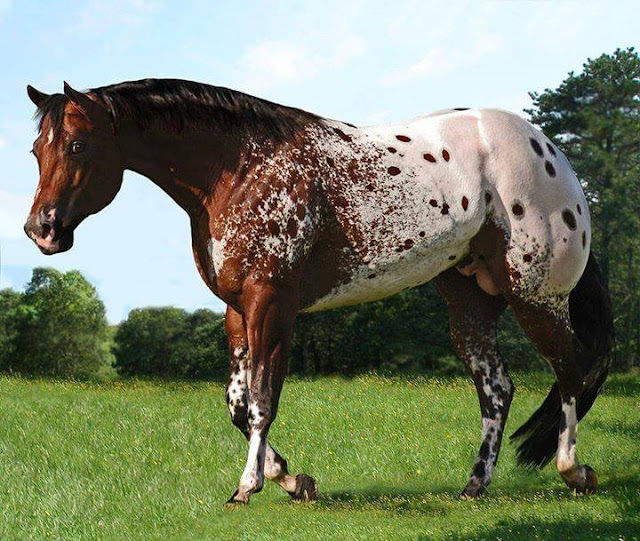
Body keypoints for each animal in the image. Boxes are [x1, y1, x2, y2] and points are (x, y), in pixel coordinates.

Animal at [24, 79, 614, 505]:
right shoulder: (237, 310)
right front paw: (295, 481)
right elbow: (237, 404)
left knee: (570, 368)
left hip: (534, 296)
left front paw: (247, 487)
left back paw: (574, 472)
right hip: (470, 301)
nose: (41, 229)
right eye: (35, 150)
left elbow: (262, 402)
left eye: (77, 144)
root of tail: (553, 157)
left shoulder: (271, 305)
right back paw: (474, 486)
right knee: (497, 389)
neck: (240, 168)